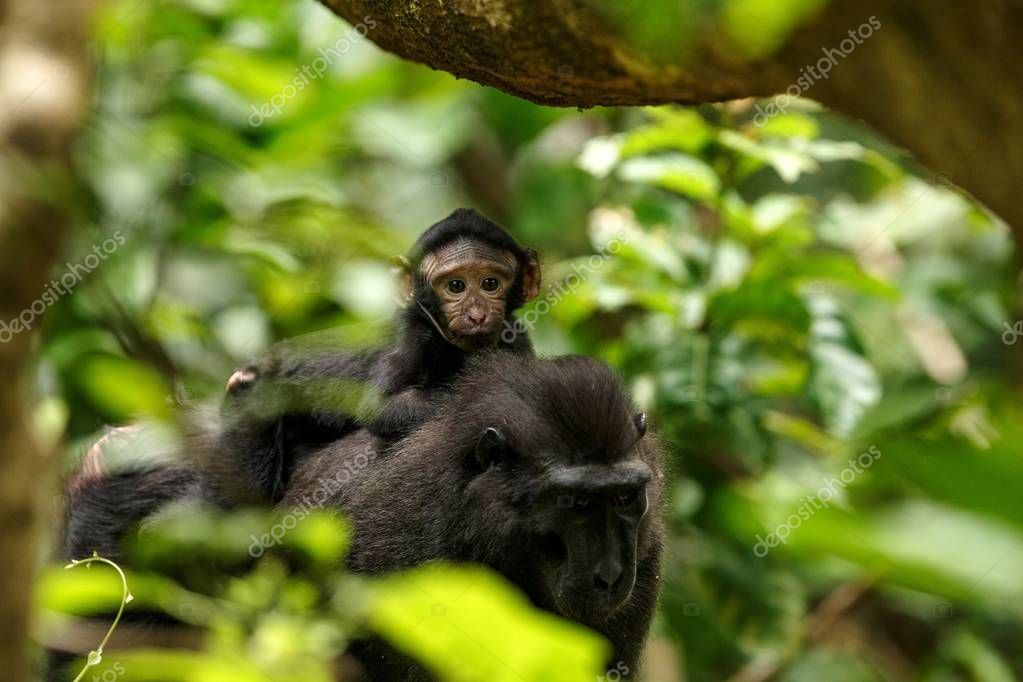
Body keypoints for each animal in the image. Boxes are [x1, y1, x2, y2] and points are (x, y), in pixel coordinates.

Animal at [207, 208, 542, 504]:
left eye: (490, 283)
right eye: (456, 286)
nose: (476, 314)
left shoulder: (516, 337)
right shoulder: (409, 339)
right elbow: (380, 407)